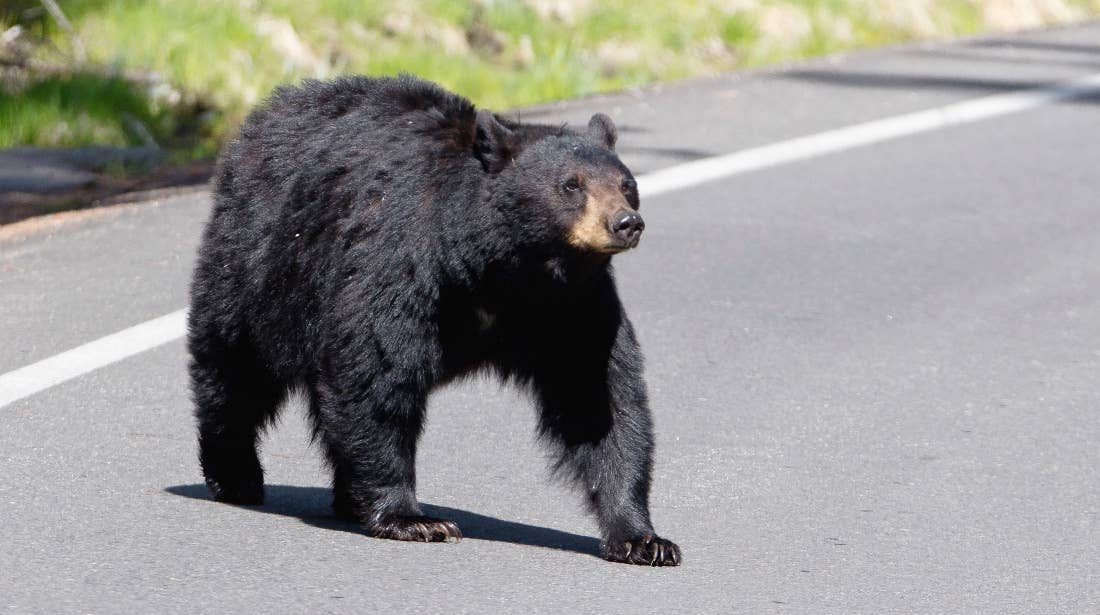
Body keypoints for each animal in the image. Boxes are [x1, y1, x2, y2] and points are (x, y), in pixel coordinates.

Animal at [187, 74, 680, 566]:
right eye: (571, 185)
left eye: (626, 183)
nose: (625, 222)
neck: (499, 269)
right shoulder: (401, 260)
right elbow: (376, 371)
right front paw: (412, 518)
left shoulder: (571, 305)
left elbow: (596, 397)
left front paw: (642, 538)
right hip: (262, 260)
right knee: (235, 367)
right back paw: (234, 474)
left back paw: (345, 496)